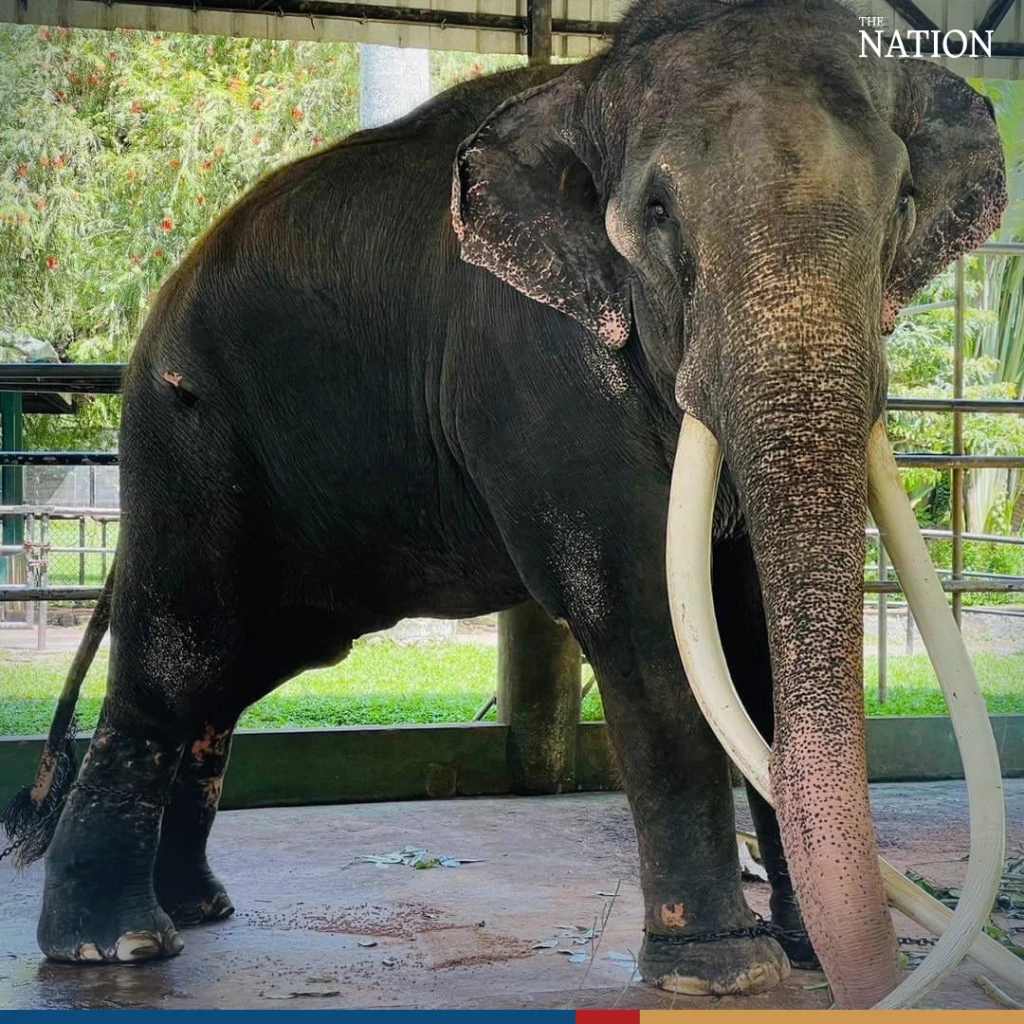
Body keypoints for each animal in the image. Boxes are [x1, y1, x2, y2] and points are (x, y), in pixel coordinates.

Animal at [3, 0, 1009, 1008]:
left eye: (903, 203)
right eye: (657, 211)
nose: (885, 978)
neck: (592, 78)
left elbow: (749, 638)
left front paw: (802, 955)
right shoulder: (536, 362)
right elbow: (645, 620)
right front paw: (720, 974)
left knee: (243, 665)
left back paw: (197, 908)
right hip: (188, 433)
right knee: (181, 653)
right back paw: (115, 945)